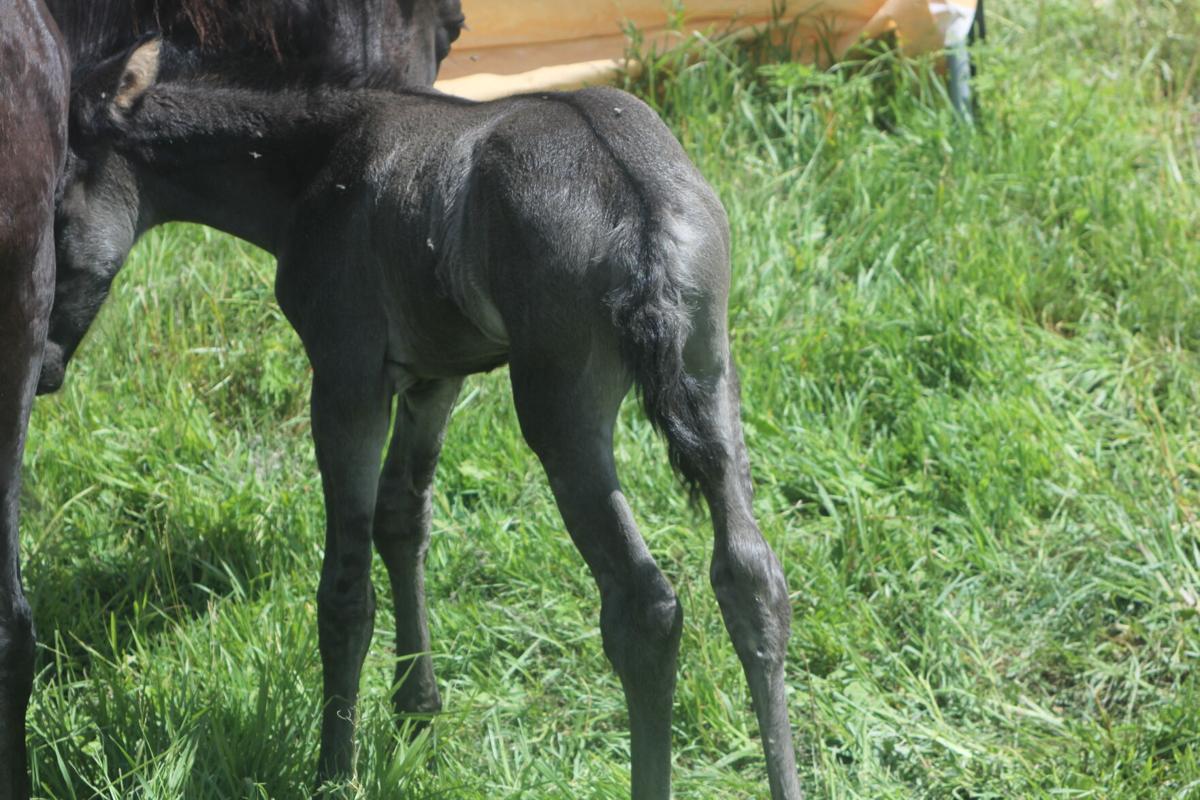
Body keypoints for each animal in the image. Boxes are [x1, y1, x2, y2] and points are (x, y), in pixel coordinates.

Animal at [1, 2, 461, 797]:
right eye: (450, 29)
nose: (47, 371)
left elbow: (384, 536)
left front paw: (397, 722)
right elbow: (382, 539)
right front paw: (391, 726)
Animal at [47, 37, 805, 798]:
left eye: (54, 217)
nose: (45, 367)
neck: (314, 164)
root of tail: (645, 211)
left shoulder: (346, 377)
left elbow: (345, 587)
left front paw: (335, 769)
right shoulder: (437, 375)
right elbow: (401, 518)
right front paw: (417, 709)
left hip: (561, 410)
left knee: (642, 605)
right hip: (712, 375)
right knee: (751, 576)